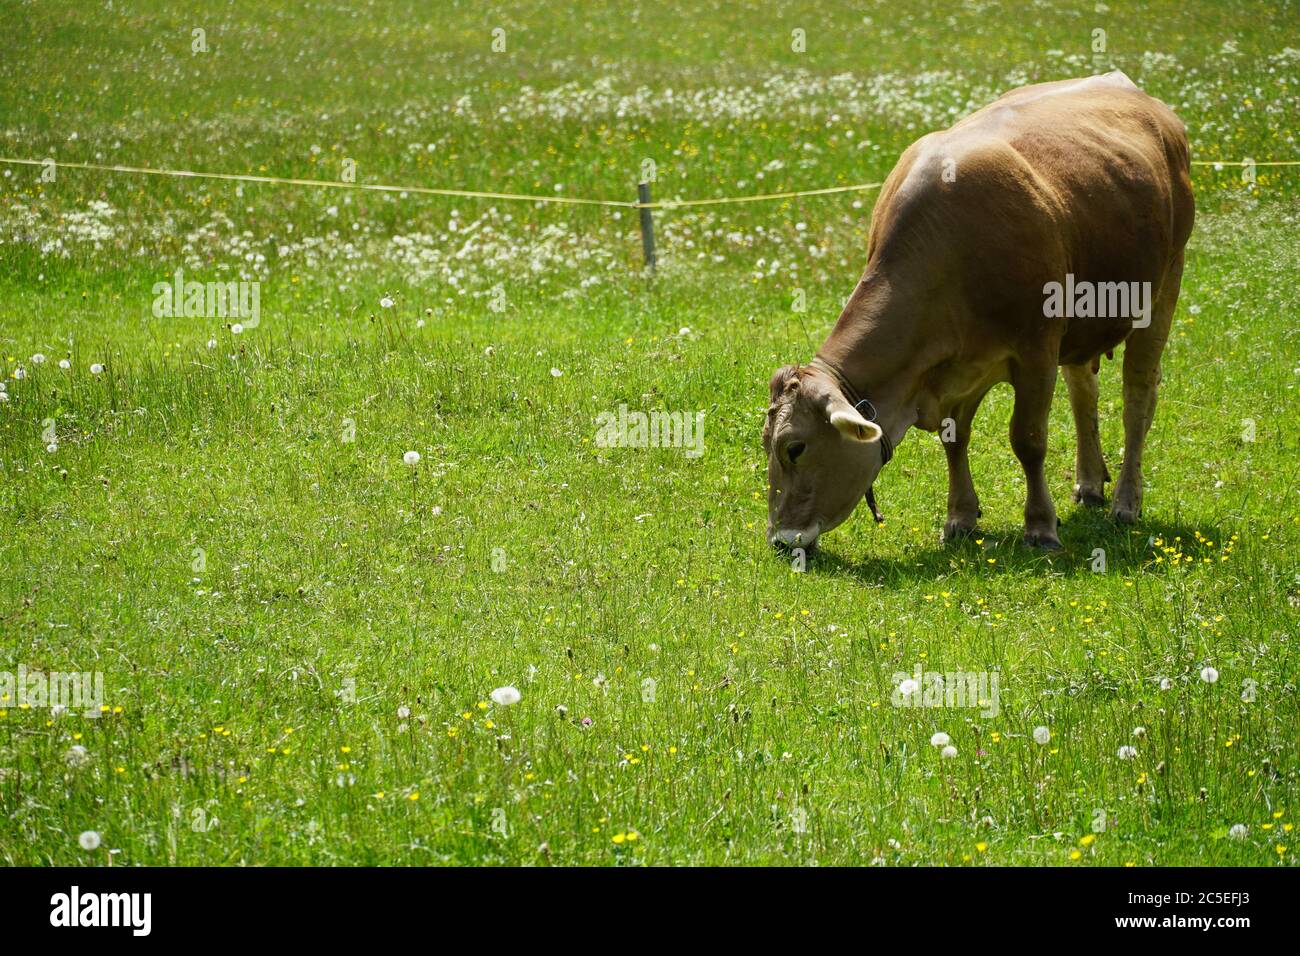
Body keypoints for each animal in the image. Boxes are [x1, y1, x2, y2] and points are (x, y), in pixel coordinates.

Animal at [764, 71, 1194, 553]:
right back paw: (1089, 483)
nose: (780, 538)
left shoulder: (1037, 350)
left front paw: (1040, 526)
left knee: (1137, 398)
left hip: (1164, 285)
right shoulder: (956, 367)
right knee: (1084, 391)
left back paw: (1126, 501)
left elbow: (1028, 440)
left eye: (794, 448)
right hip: (1083, 322)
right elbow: (955, 440)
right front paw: (961, 517)